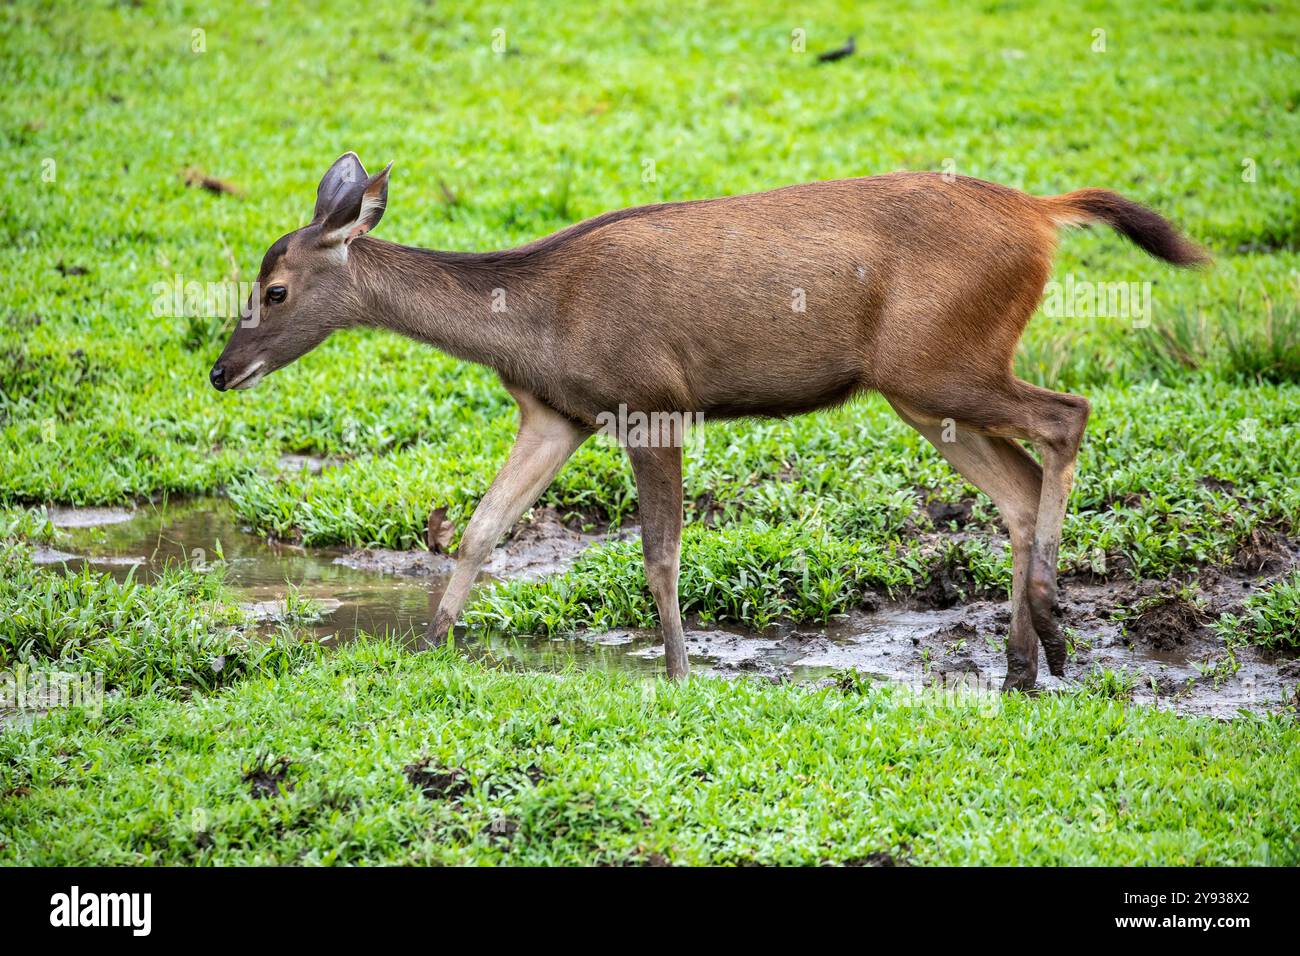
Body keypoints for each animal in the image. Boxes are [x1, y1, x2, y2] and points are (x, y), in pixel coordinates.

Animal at [210, 152, 1208, 690]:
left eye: (274, 289)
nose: (221, 370)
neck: (533, 318)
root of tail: (1043, 215)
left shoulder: (653, 399)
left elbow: (661, 554)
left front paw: (681, 673)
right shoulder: (558, 412)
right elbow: (483, 527)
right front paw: (427, 645)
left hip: (938, 362)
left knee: (1068, 414)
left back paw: (1055, 626)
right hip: (924, 388)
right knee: (1019, 481)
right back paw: (1020, 665)